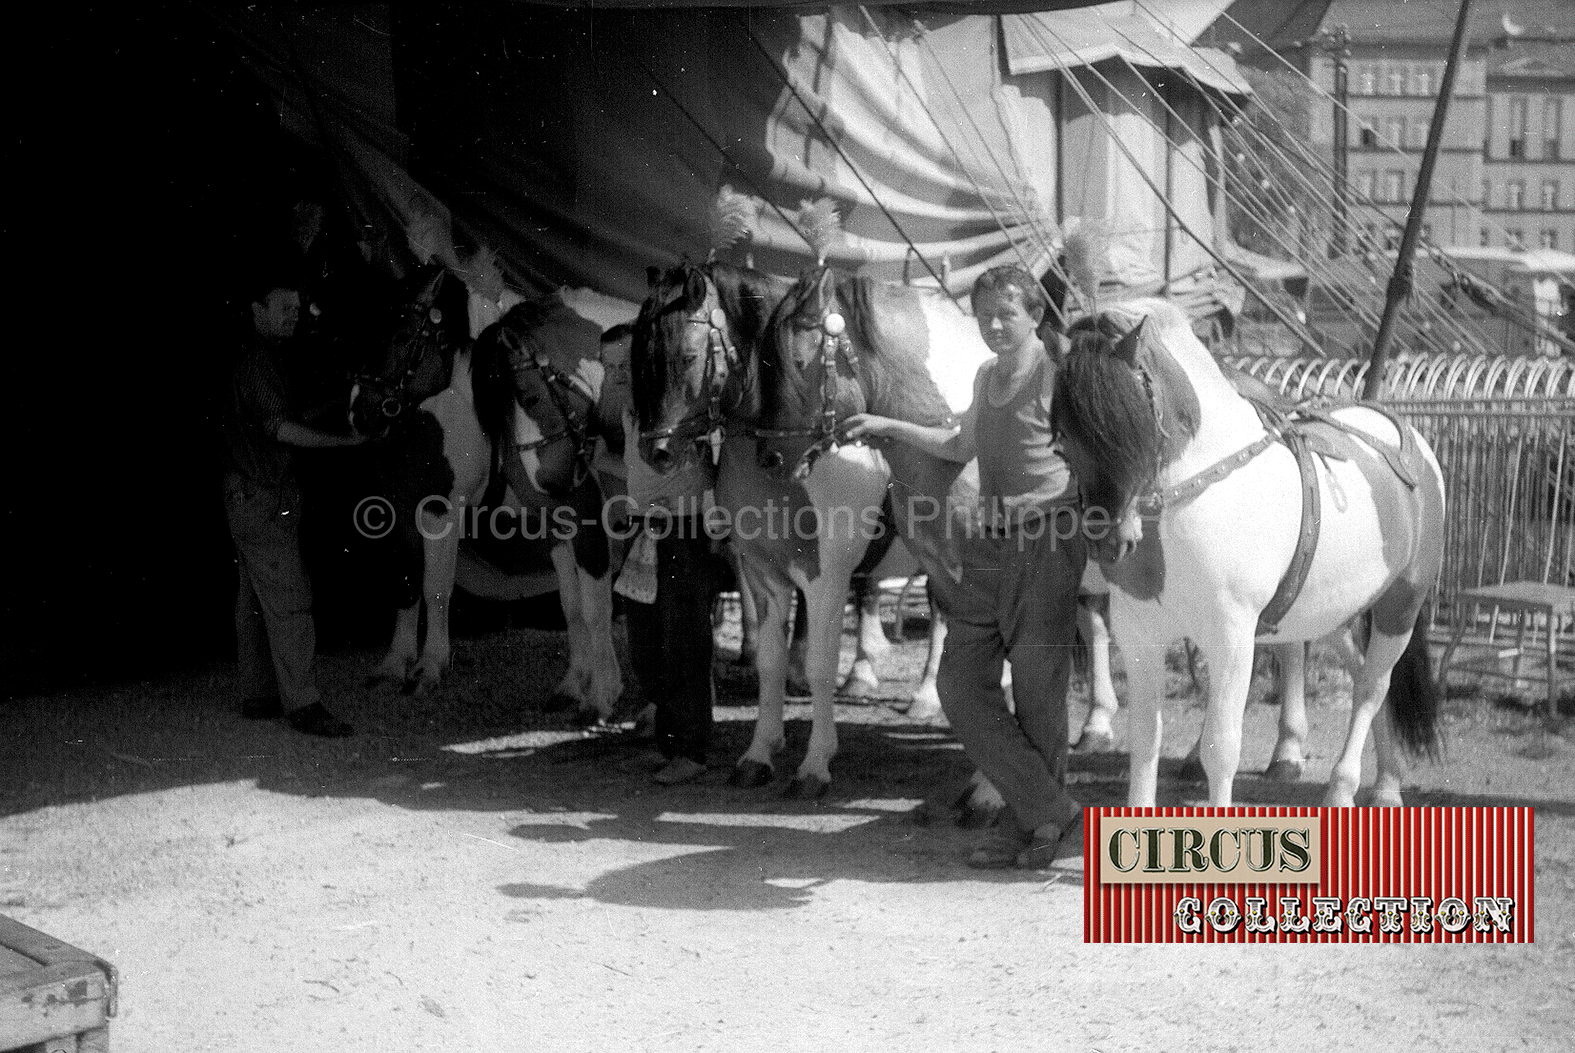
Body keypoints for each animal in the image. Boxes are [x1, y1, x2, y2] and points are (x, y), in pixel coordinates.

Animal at [348, 267, 623, 717]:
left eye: (403, 335)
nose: (360, 412)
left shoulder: (443, 509)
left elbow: (436, 586)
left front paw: (429, 667)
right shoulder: (402, 509)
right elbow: (407, 581)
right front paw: (395, 664)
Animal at [1052, 295, 1442, 805]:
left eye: (1134, 425)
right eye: (1064, 439)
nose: (1110, 541)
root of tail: (1411, 442)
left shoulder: (1232, 637)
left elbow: (1221, 748)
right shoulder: (1141, 636)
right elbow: (1145, 741)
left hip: (1400, 605)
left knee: (1372, 689)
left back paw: (1344, 790)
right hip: (1332, 611)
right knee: (1363, 676)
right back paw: (1388, 782)